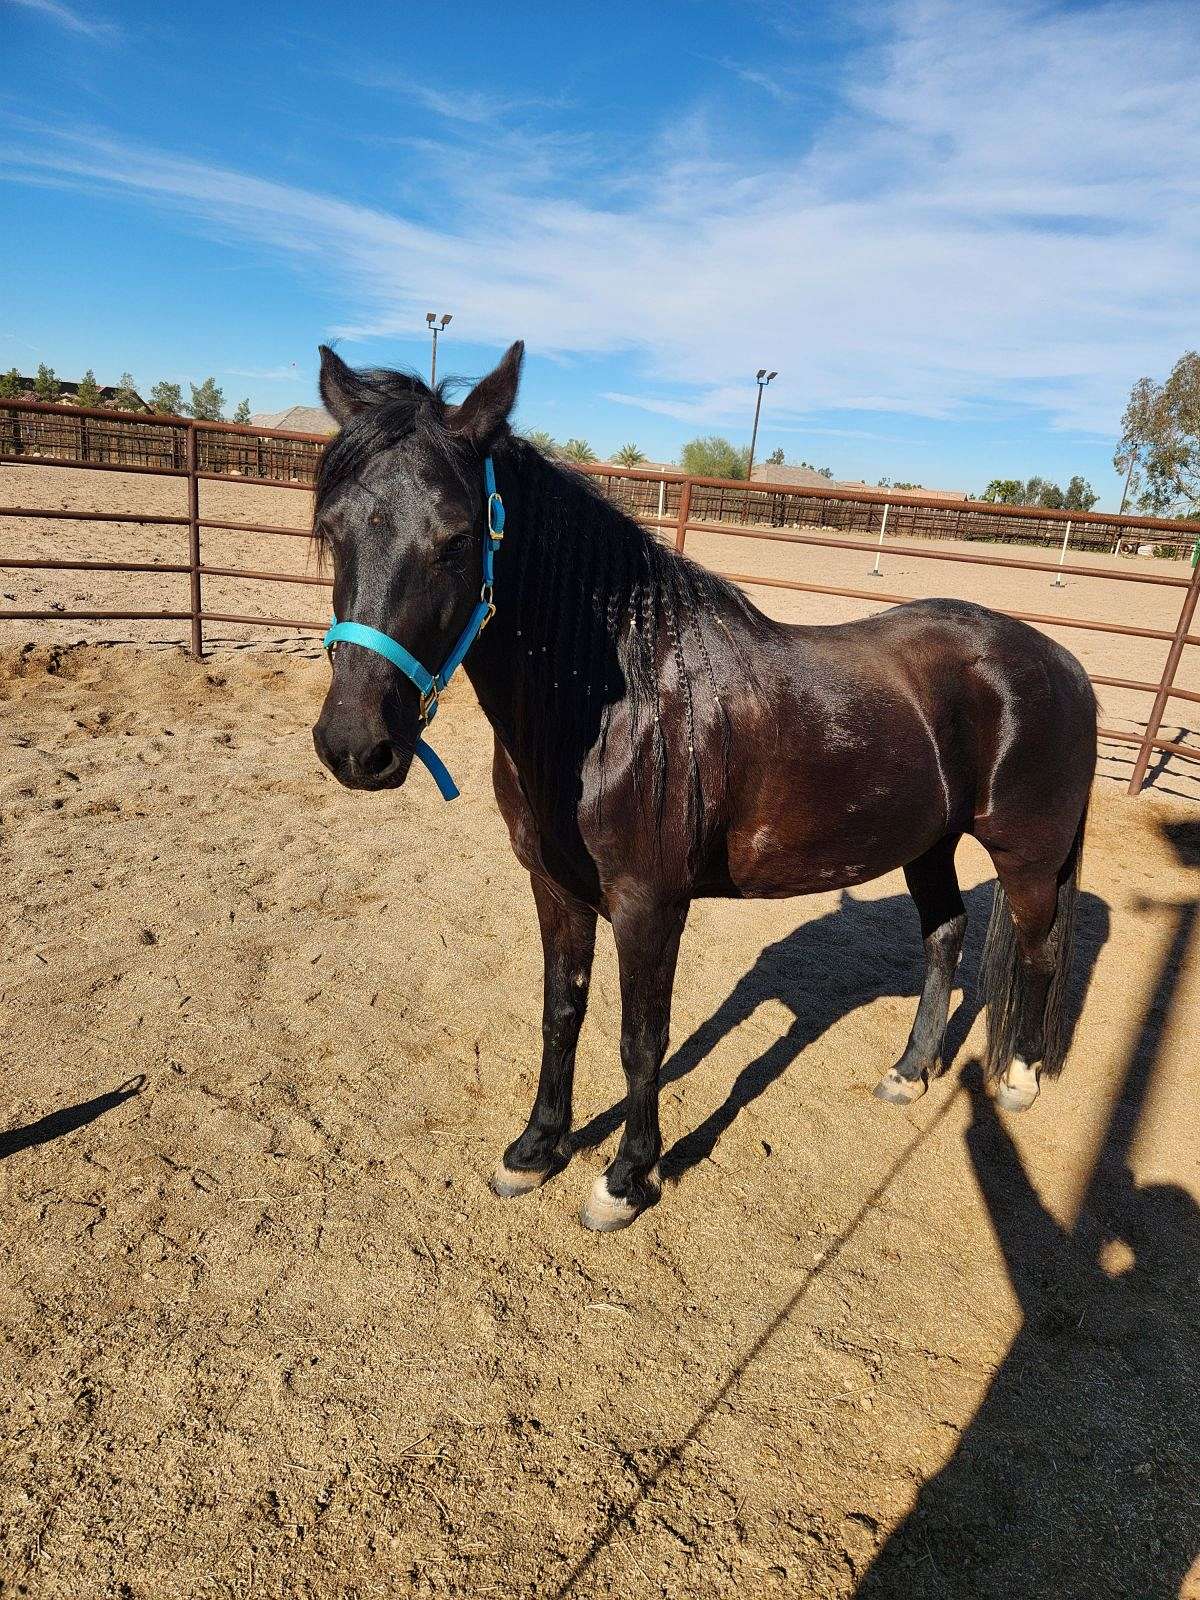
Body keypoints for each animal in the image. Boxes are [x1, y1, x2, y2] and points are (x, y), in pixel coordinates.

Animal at [311, 341, 1097, 1232]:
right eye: (333, 529)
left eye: (455, 538)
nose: (355, 746)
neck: (615, 707)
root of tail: (1062, 664)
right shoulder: (555, 888)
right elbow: (562, 1015)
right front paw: (536, 1149)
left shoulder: (649, 905)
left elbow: (641, 1041)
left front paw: (624, 1180)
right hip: (926, 842)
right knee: (945, 935)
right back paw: (908, 1071)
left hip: (1026, 856)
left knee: (1036, 948)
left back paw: (1020, 1079)